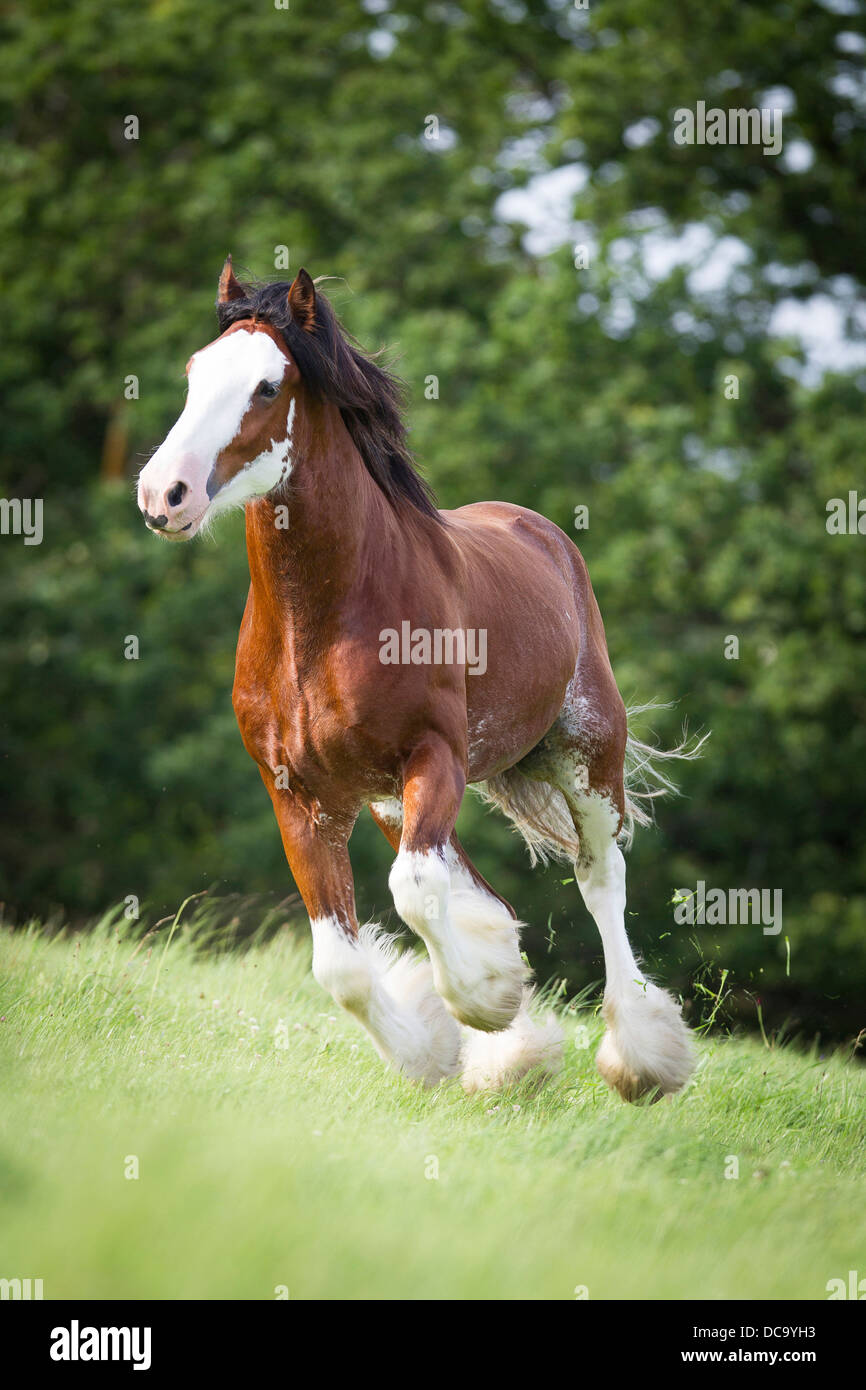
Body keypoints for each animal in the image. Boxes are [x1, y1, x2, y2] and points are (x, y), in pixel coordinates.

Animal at [136, 258, 699, 1101]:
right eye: (194, 372)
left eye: (268, 386)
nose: (163, 493)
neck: (320, 623)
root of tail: (543, 532)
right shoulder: (299, 795)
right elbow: (341, 962)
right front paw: (442, 1046)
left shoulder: (434, 756)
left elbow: (413, 892)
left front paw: (486, 1000)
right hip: (390, 802)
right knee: (475, 884)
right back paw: (515, 1050)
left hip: (584, 756)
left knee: (601, 878)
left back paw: (638, 1060)